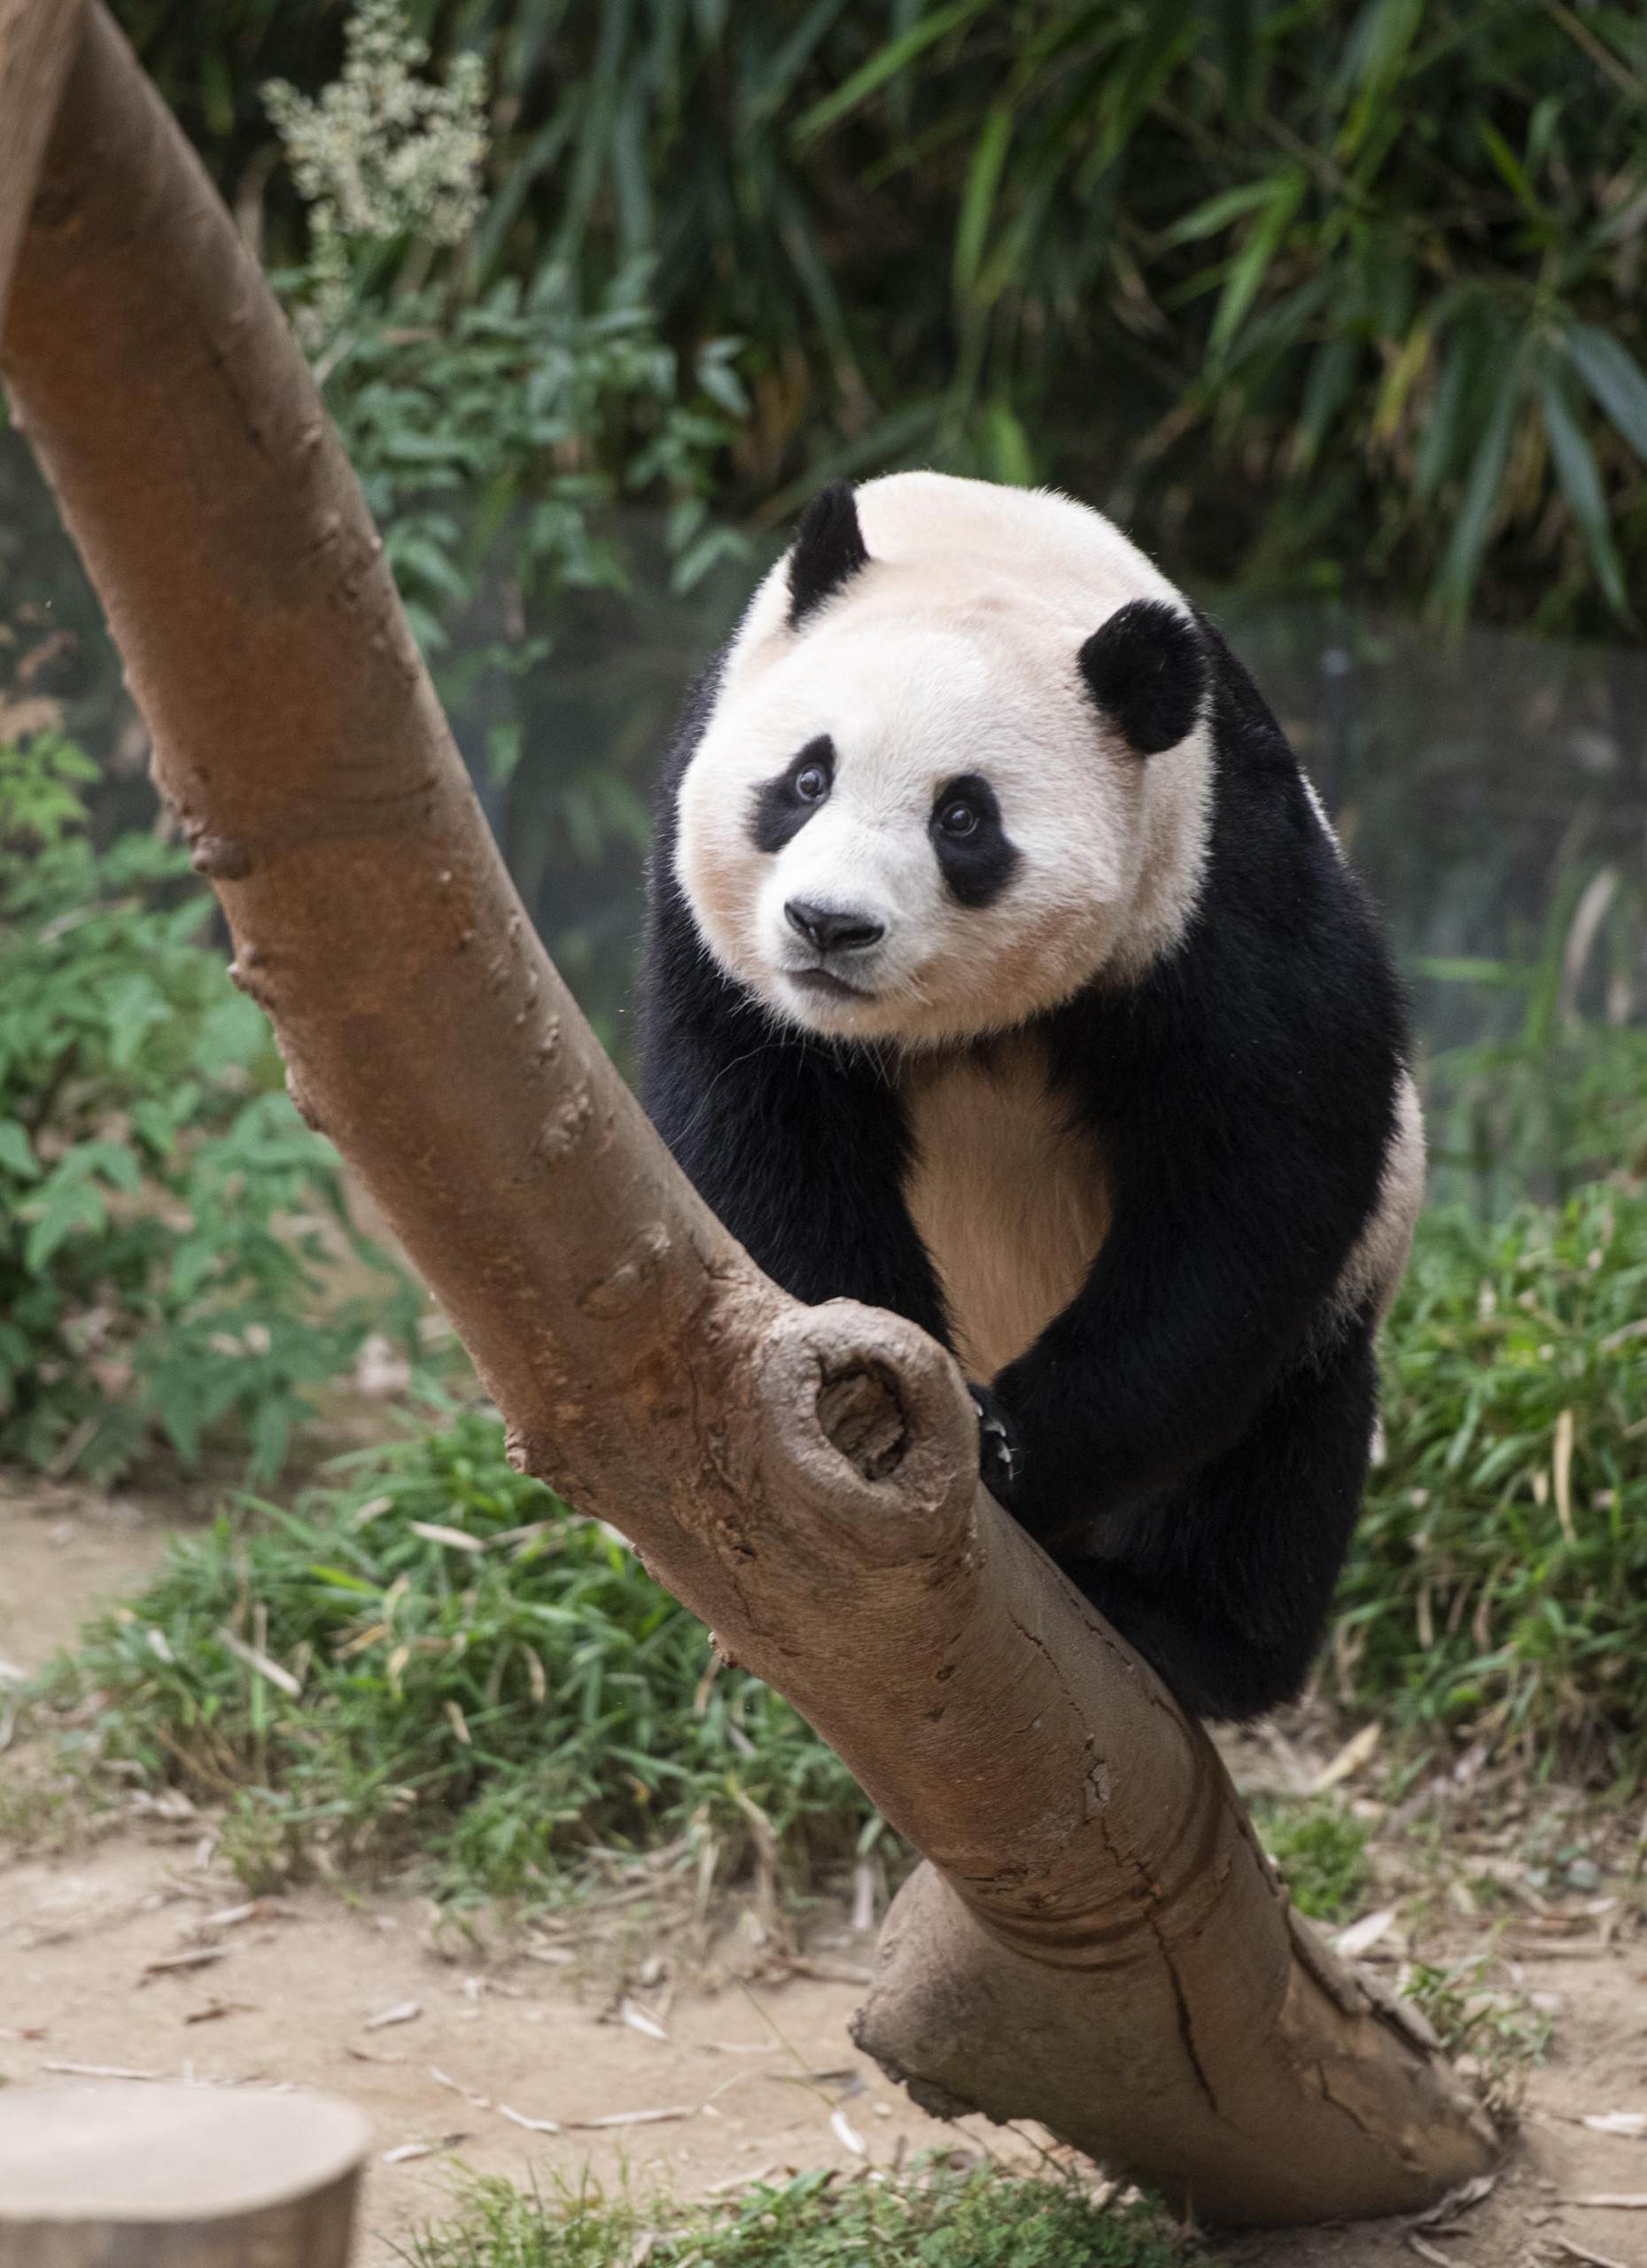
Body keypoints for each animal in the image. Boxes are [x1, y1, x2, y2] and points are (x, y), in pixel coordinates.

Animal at [640, 471, 1421, 1722]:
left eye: (962, 818)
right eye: (806, 778)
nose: (826, 926)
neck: (989, 553)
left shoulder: (1212, 871)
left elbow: (1259, 1177)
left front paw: (1011, 1449)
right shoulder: (705, 890)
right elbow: (758, 1137)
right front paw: (887, 1411)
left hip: (1335, 1320)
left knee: (1281, 1455)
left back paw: (1184, 1628)